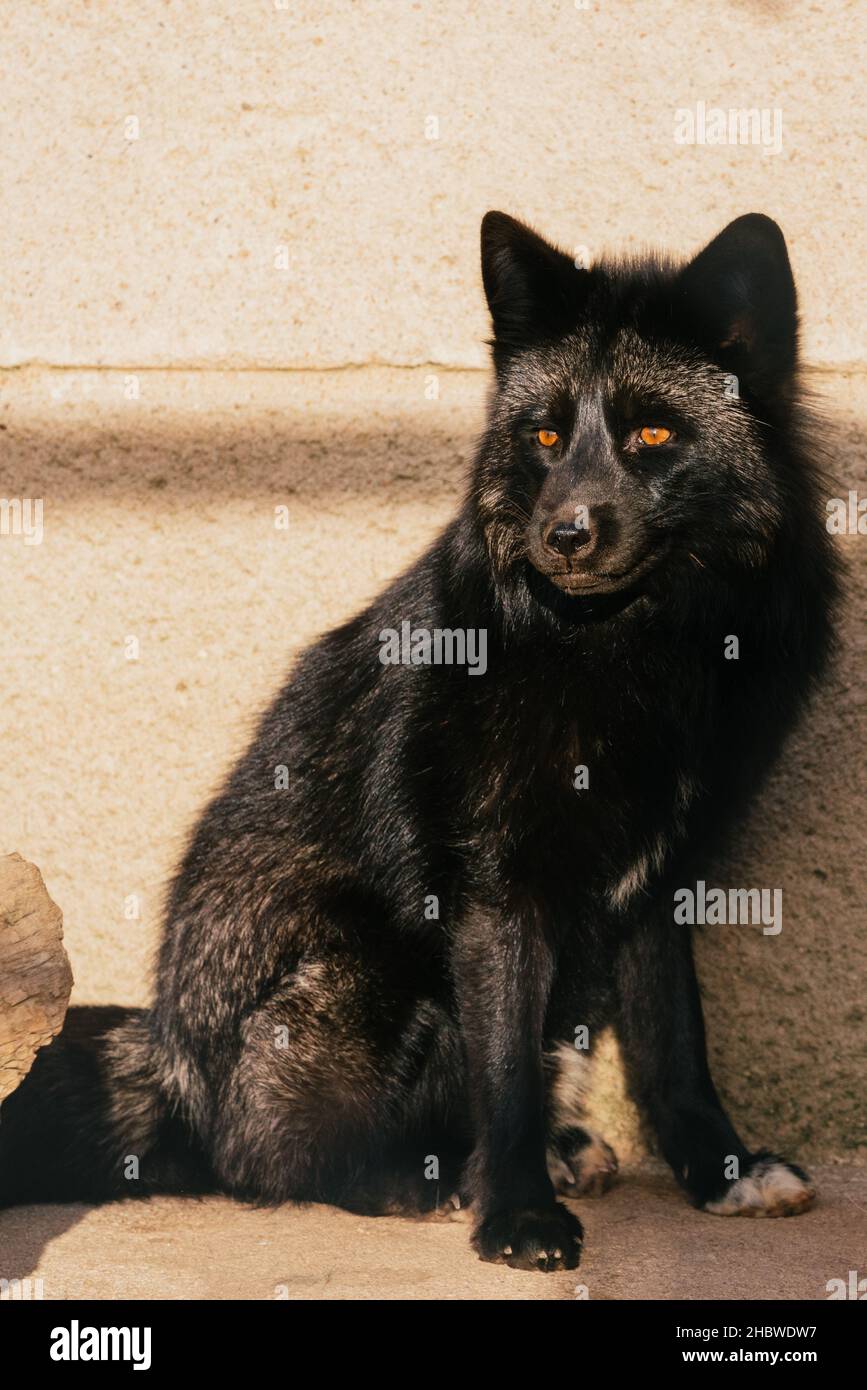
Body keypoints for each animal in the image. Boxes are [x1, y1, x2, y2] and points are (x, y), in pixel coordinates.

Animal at [0, 211, 838, 1272]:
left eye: (651, 432)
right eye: (545, 435)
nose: (563, 534)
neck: (629, 652)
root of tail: (171, 1073)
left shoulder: (662, 874)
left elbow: (676, 1046)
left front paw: (721, 1170)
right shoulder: (493, 882)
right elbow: (506, 1073)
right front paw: (517, 1216)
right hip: (368, 966)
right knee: (273, 1167)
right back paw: (432, 1180)